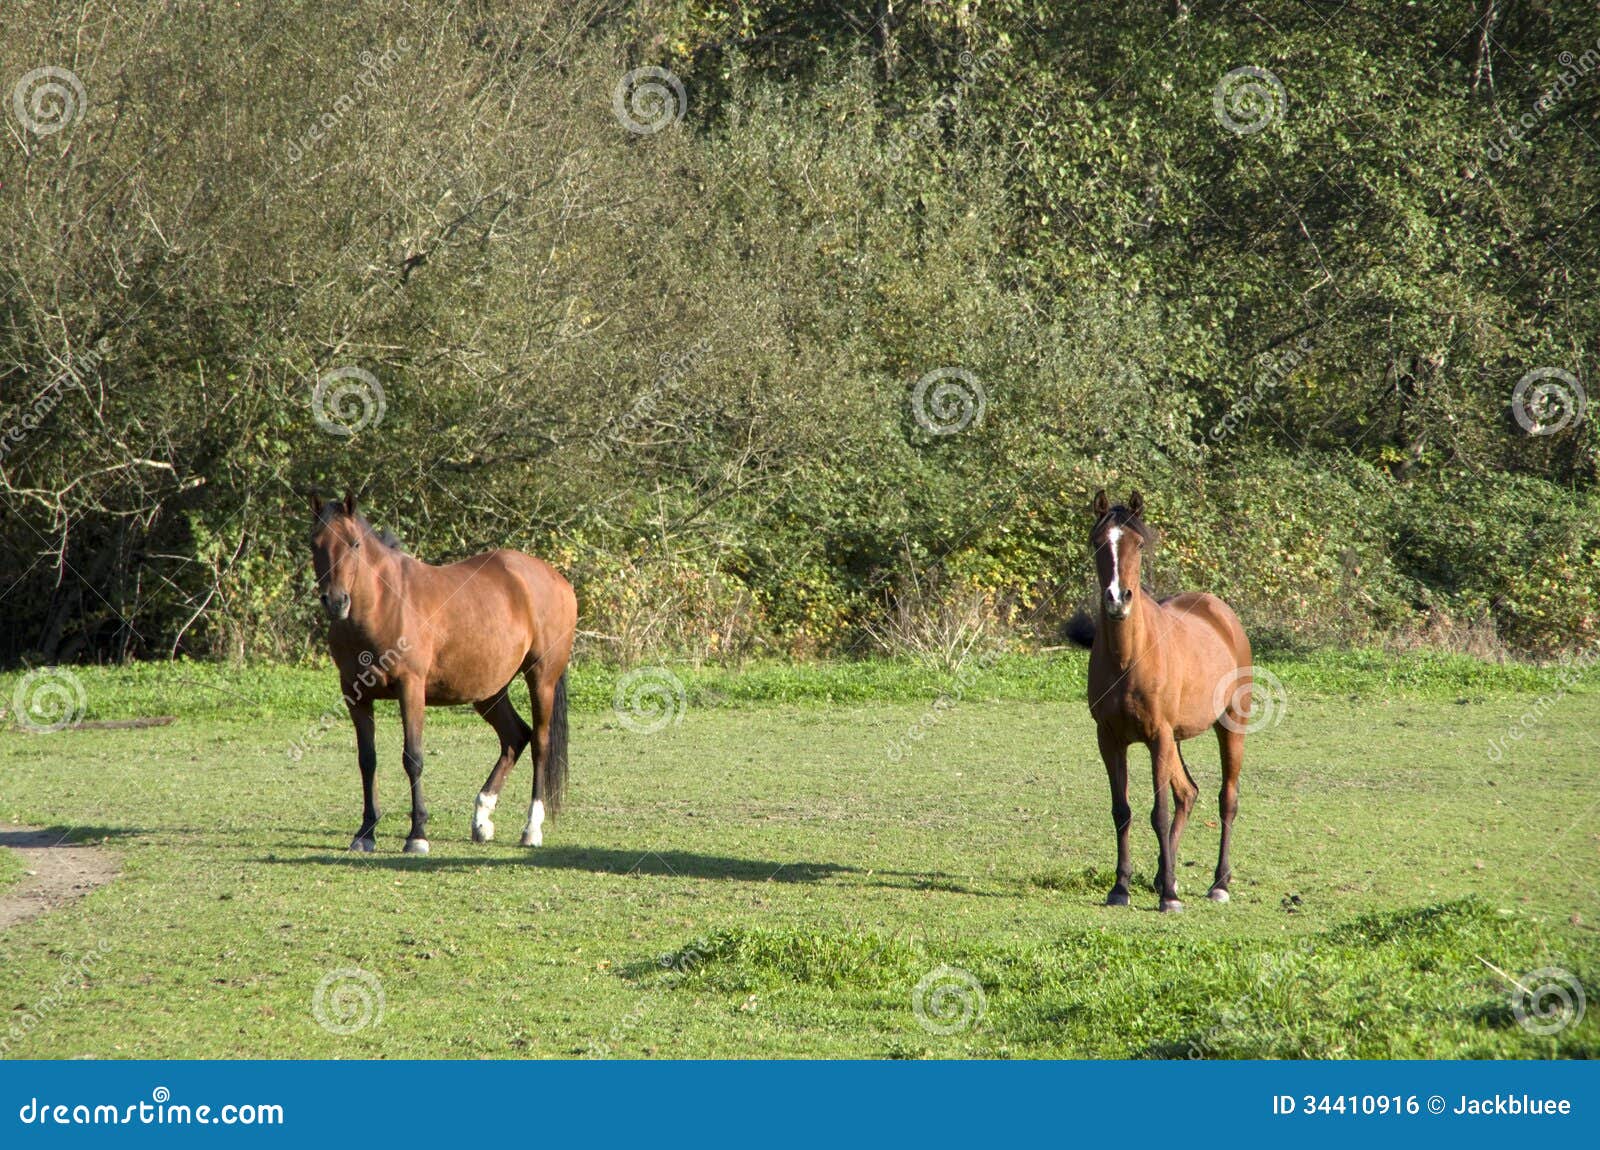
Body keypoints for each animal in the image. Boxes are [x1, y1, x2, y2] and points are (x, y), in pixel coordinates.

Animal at [308, 491, 577, 854]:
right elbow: (367, 760)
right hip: (489, 691)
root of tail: (556, 579)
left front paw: (417, 834)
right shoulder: (355, 694)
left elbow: (413, 757)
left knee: (540, 743)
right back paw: (481, 820)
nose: (336, 602)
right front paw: (365, 833)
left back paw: (531, 828)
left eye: (354, 544)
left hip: (542, 680)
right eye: (315, 543)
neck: (383, 604)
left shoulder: (410, 688)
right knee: (515, 737)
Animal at [1067, 490, 1252, 912]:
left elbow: (1159, 811)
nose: (1117, 599)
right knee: (1188, 793)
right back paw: (1161, 875)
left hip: (1227, 727)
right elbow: (1122, 811)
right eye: (1097, 542)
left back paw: (1219, 883)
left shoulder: (1157, 737)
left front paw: (1169, 895)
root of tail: (1221, 613)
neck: (1130, 657)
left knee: (1226, 799)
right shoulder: (1110, 739)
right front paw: (1121, 888)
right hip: (1175, 739)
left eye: (1138, 543)